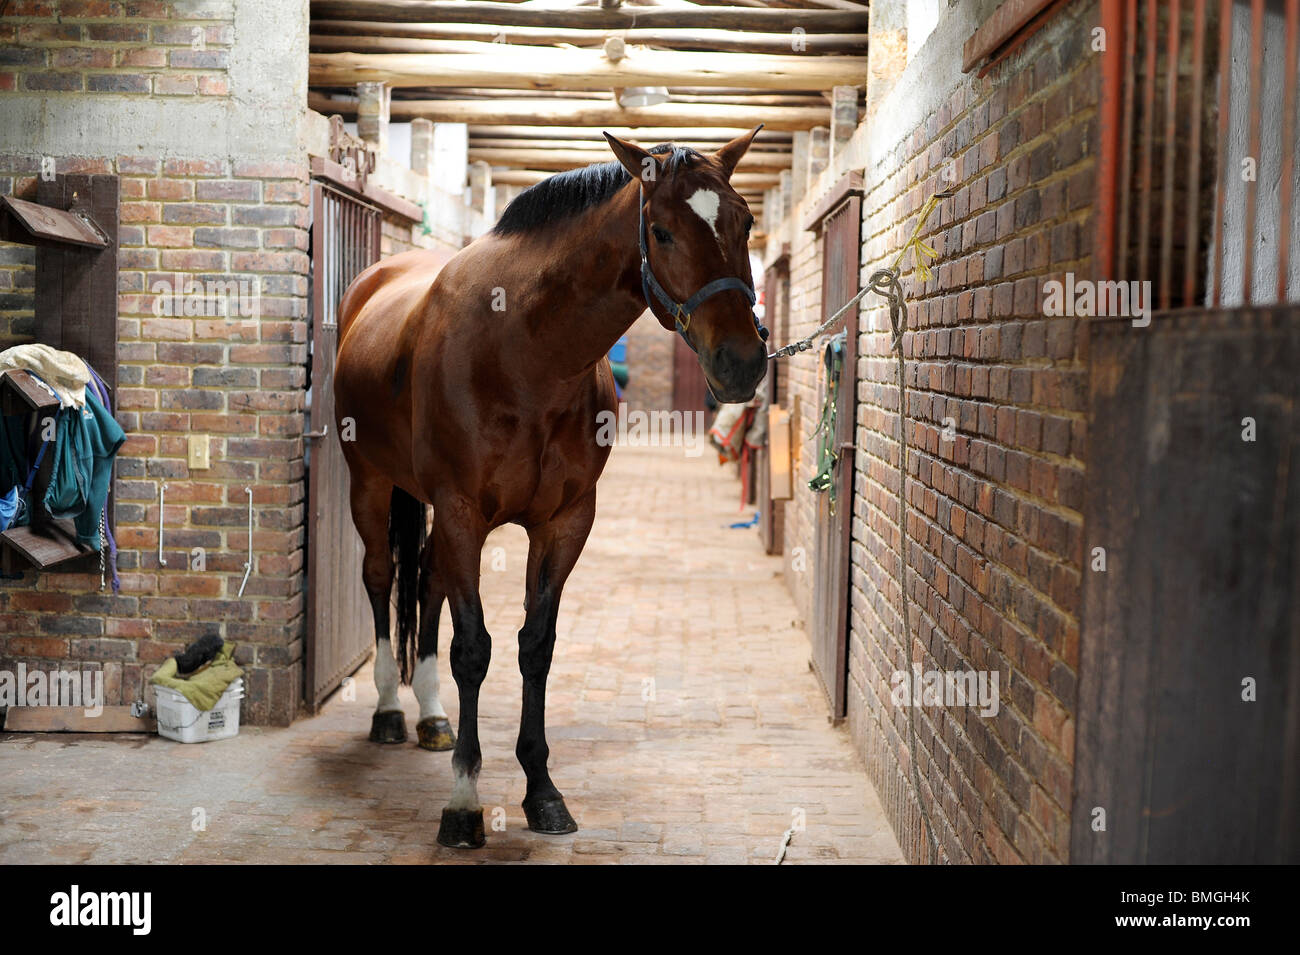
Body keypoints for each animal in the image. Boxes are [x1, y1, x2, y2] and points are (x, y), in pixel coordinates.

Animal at [332, 128, 768, 848]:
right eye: (662, 230)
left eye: (745, 222)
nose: (743, 362)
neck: (523, 349)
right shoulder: (462, 513)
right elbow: (473, 649)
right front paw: (463, 803)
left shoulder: (565, 521)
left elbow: (535, 646)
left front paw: (542, 790)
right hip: (369, 483)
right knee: (378, 577)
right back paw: (391, 710)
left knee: (424, 582)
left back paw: (430, 715)